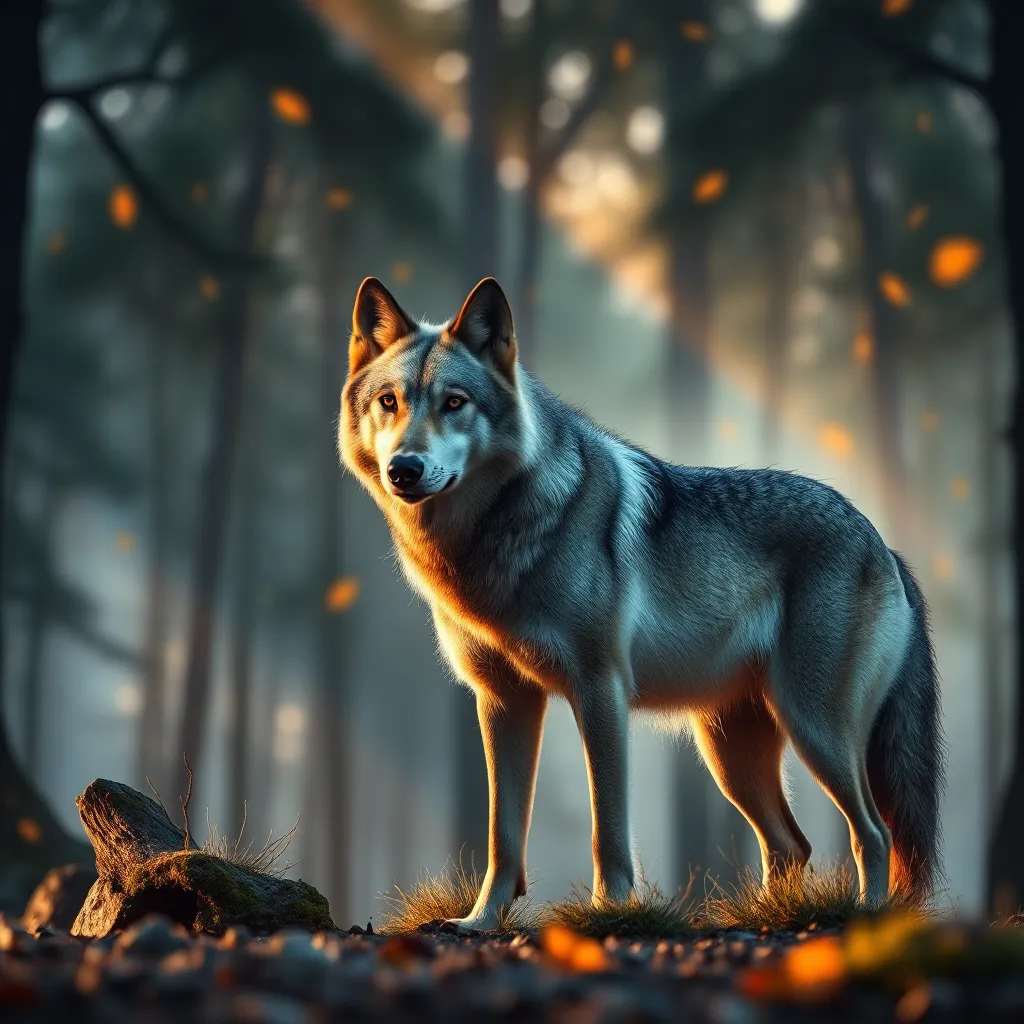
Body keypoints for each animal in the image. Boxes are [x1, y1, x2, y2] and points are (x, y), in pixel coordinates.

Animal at [339, 275, 945, 931]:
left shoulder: (600, 688)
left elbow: (608, 826)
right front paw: (480, 922)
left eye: (454, 402)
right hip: (730, 752)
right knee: (792, 844)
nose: (404, 468)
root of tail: (884, 543)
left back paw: (865, 921)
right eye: (390, 402)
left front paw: (607, 913)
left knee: (874, 833)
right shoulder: (503, 699)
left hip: (814, 729)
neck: (496, 538)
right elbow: (503, 835)